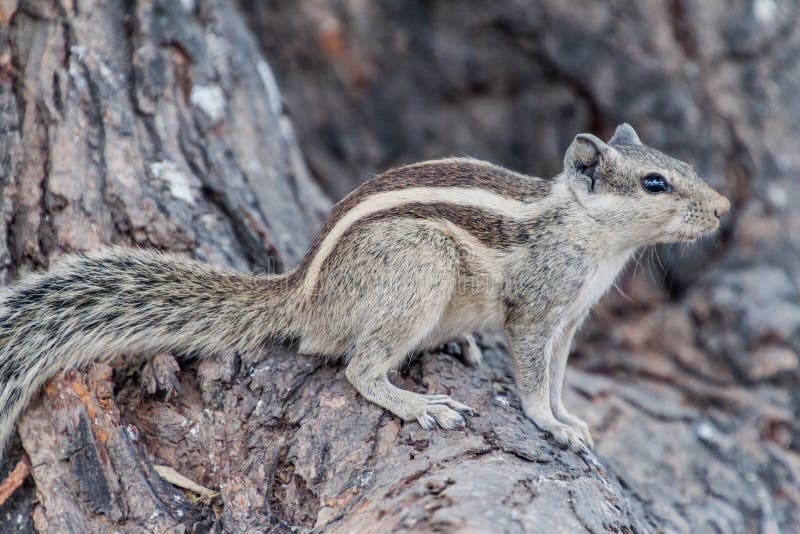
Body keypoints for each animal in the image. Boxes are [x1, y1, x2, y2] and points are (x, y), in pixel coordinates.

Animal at [0, 123, 729, 458]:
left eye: (685, 164)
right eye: (655, 184)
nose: (723, 209)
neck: (585, 233)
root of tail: (304, 294)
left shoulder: (570, 322)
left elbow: (555, 376)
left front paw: (569, 418)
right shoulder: (536, 311)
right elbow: (529, 378)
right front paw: (549, 423)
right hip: (420, 267)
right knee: (358, 368)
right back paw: (418, 405)